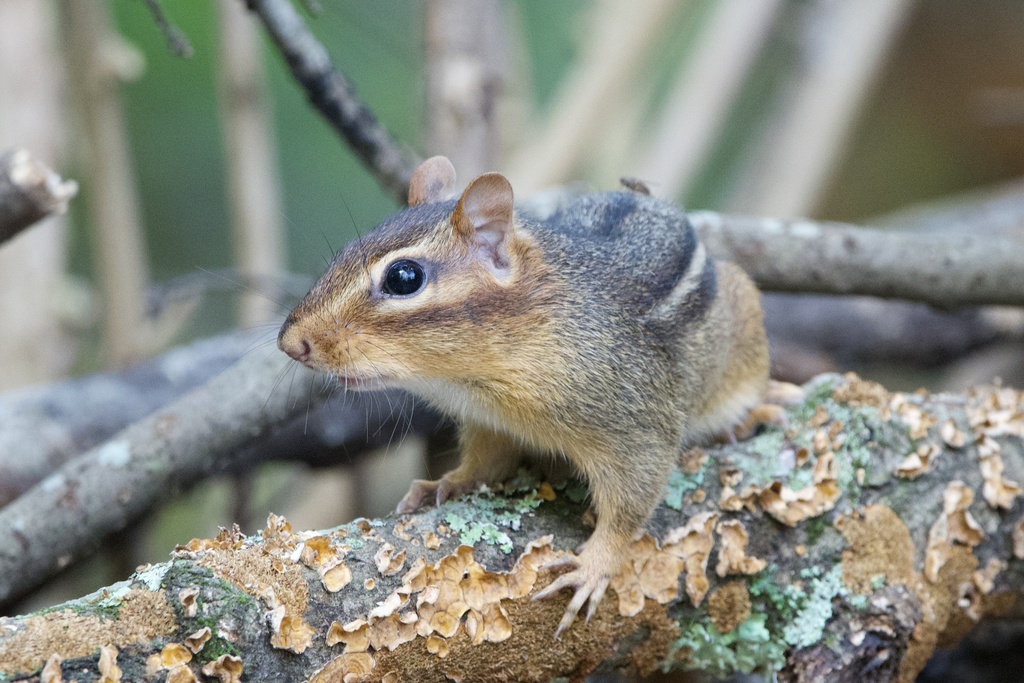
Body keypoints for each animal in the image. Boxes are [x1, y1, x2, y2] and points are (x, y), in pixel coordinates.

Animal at [278, 156, 771, 636]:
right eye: (345, 251)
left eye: (404, 277)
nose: (291, 343)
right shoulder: (487, 422)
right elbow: (485, 463)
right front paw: (446, 483)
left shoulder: (637, 425)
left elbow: (630, 504)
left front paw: (593, 567)